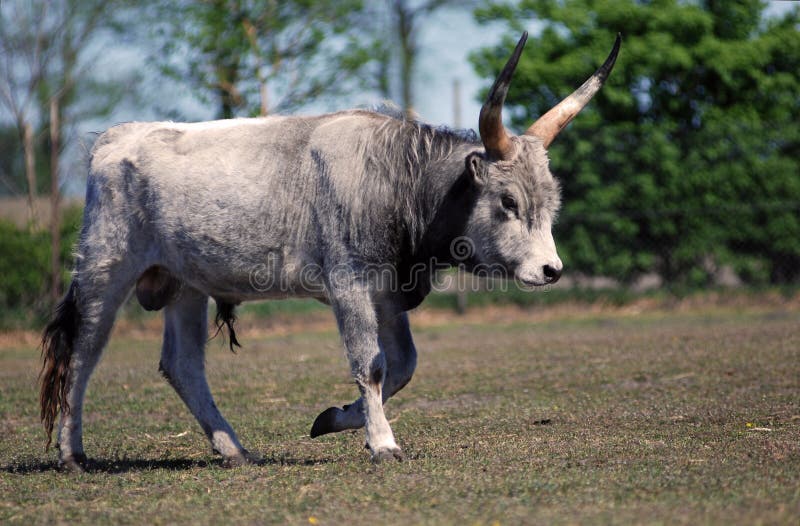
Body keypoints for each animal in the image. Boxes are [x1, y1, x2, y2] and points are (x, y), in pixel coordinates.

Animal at [39, 32, 620, 470]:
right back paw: (73, 453)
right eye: (507, 201)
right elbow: (372, 364)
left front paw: (339, 419)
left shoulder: (388, 295)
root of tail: (115, 137)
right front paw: (382, 443)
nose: (551, 269)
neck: (397, 179)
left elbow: (402, 365)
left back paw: (234, 449)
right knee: (83, 353)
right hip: (105, 269)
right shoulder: (350, 286)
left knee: (182, 365)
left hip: (185, 284)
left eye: (552, 201)